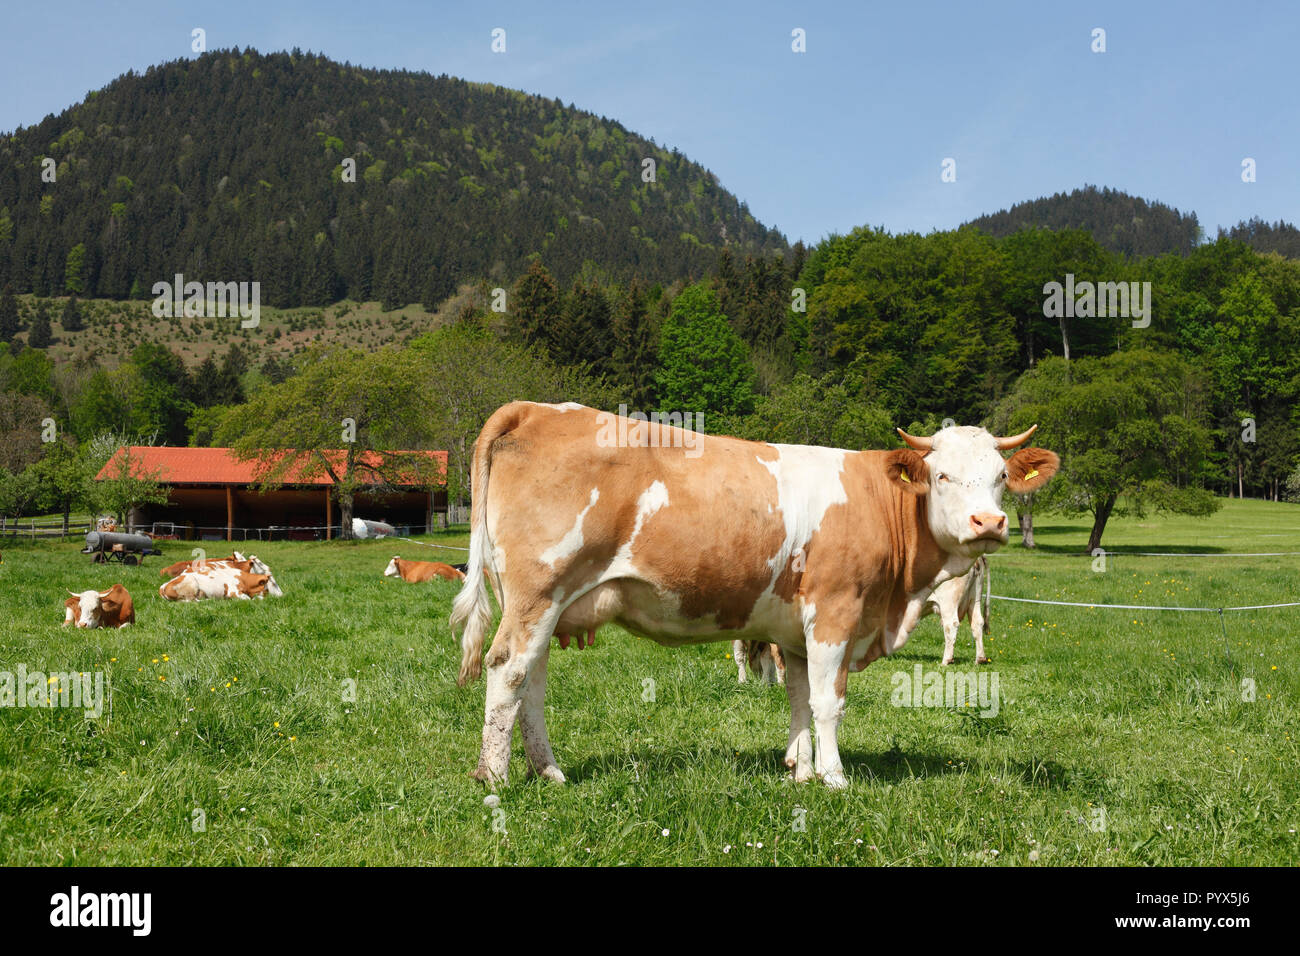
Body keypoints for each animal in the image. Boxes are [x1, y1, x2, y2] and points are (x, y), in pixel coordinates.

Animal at [450, 402, 1058, 789]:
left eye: (1001, 477)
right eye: (942, 476)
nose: (990, 523)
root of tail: (537, 408)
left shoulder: (794, 630)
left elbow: (798, 696)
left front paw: (801, 769)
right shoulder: (835, 611)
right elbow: (829, 701)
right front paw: (834, 777)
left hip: (545, 605)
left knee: (531, 681)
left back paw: (549, 771)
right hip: (539, 592)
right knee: (507, 670)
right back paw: (496, 777)